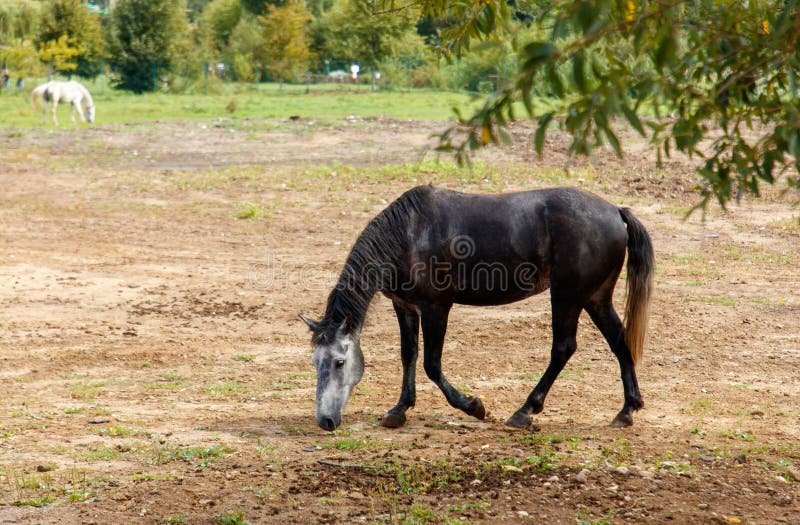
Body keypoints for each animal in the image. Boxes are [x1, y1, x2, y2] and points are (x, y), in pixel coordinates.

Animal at [301, 185, 654, 432]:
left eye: (339, 362)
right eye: (315, 361)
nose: (325, 421)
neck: (409, 234)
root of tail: (615, 211)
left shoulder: (436, 307)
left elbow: (431, 365)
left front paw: (473, 406)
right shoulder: (405, 307)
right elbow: (408, 356)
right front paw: (399, 410)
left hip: (567, 297)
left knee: (563, 348)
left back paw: (525, 411)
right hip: (595, 297)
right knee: (619, 341)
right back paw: (626, 411)